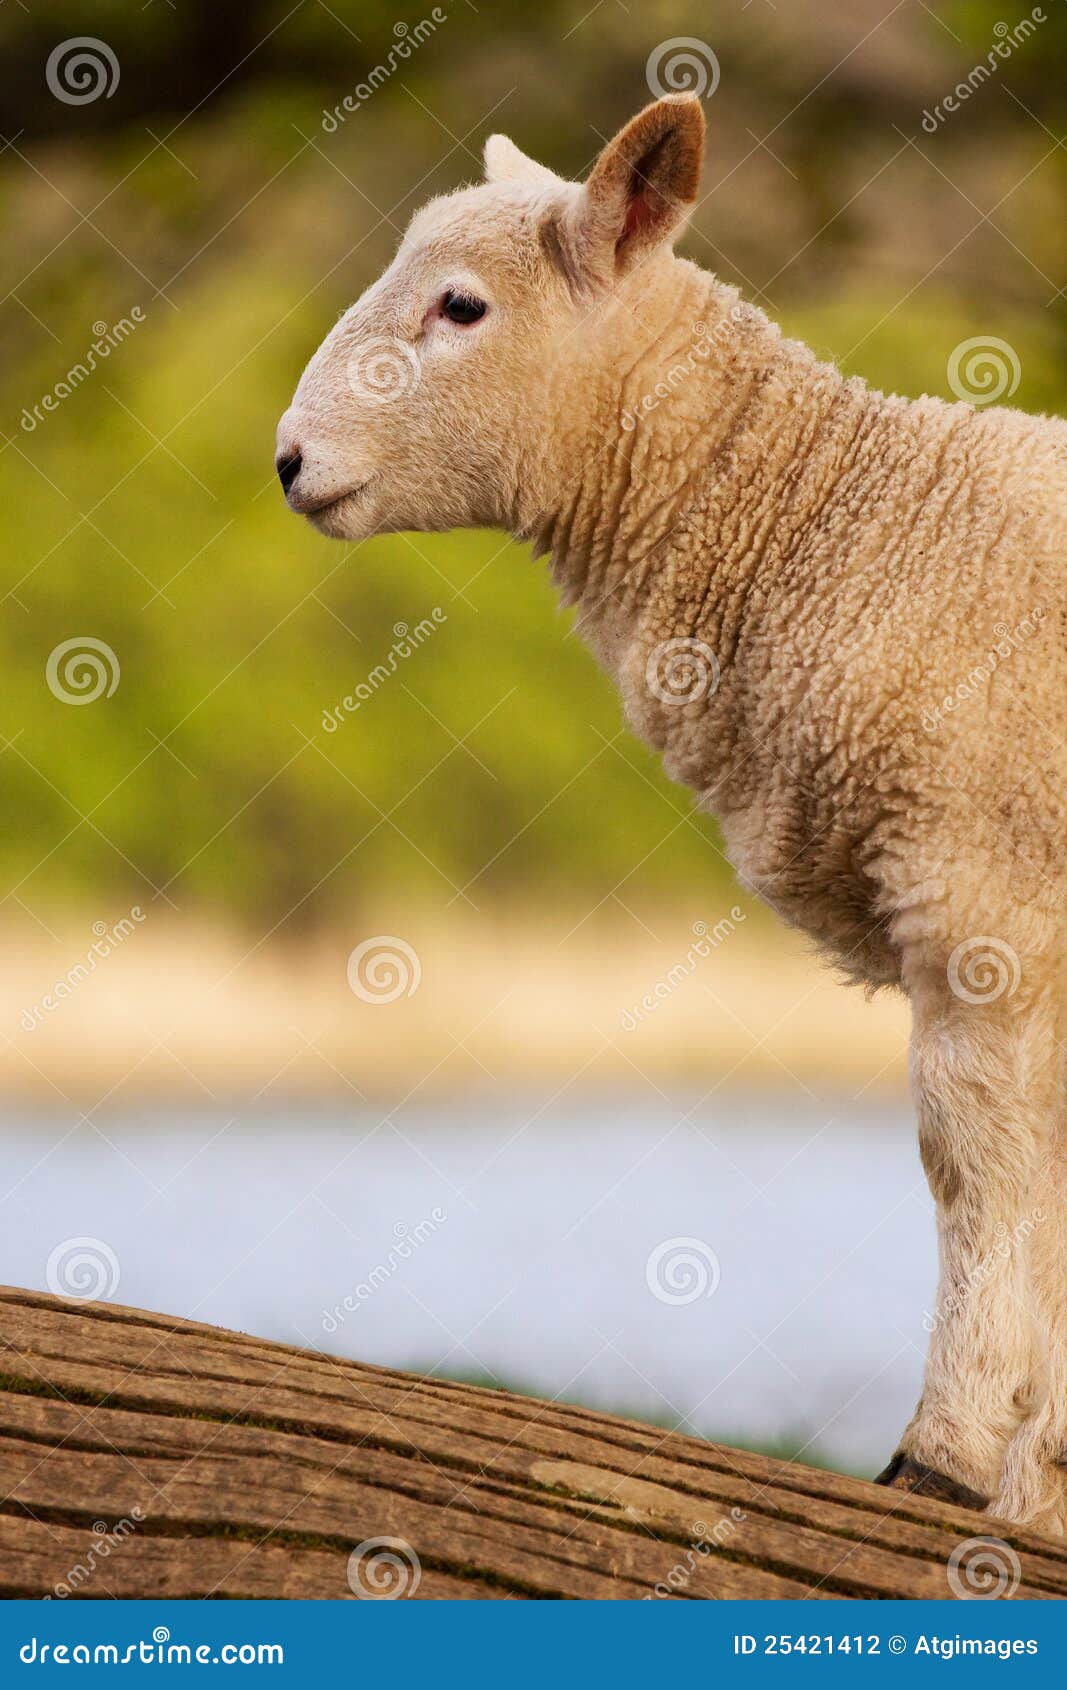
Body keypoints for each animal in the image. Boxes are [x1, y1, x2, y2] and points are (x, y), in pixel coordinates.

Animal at [277, 93, 1067, 1537]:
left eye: (462, 306)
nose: (289, 462)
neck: (835, 518)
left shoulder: (979, 894)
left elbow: (974, 1162)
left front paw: (950, 1457)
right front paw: (1034, 1479)